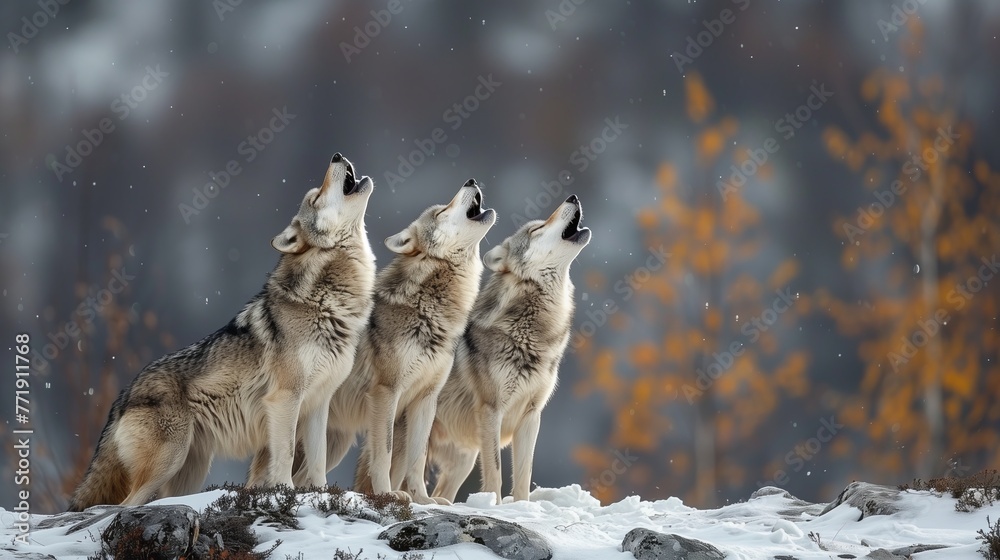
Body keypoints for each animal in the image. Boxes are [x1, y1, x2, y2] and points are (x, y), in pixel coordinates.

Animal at [68, 153, 376, 511]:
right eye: (314, 198)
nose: (337, 156)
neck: (327, 301)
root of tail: (122, 396)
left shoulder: (317, 404)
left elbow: (316, 461)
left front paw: (320, 496)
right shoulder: (284, 399)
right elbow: (285, 455)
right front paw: (285, 493)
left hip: (188, 472)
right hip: (169, 461)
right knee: (124, 506)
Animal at [311, 179, 495, 505]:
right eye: (441, 212)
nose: (471, 181)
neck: (429, 309)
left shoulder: (426, 399)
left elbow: (417, 458)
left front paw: (423, 500)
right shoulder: (387, 391)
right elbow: (383, 454)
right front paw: (387, 494)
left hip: (335, 442)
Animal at [414, 195, 591, 504]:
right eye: (536, 229)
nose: (573, 197)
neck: (531, 332)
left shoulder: (531, 416)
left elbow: (523, 475)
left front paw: (523, 508)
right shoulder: (491, 410)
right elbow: (496, 470)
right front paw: (494, 505)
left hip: (464, 458)